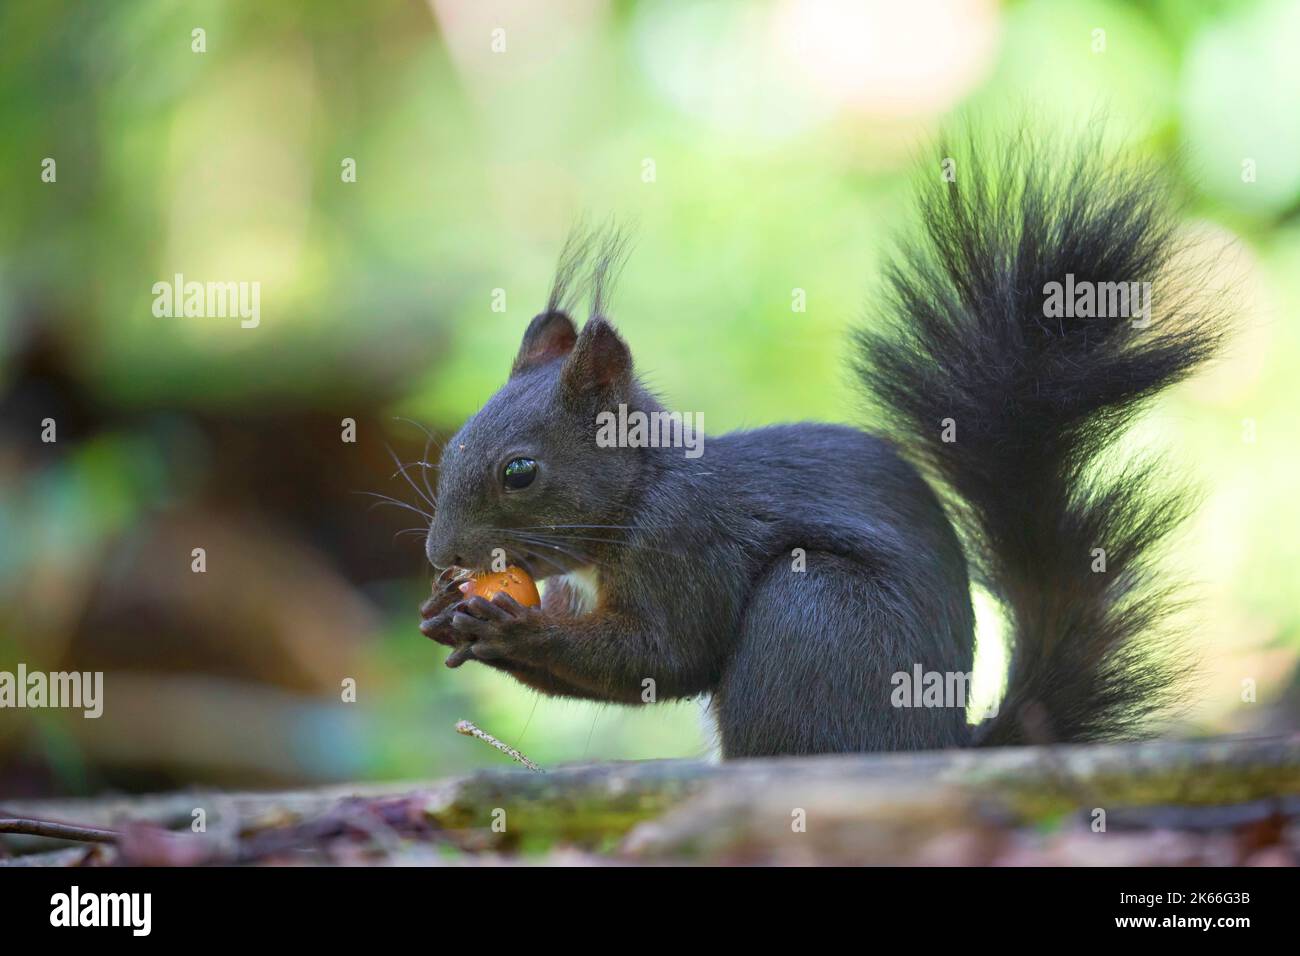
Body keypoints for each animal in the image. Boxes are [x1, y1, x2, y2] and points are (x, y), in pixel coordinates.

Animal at [418, 132, 1229, 758]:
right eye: (450, 449)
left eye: (520, 471)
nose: (439, 553)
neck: (642, 489)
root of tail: (936, 750)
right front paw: (444, 612)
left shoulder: (688, 541)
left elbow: (664, 658)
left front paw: (511, 629)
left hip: (816, 614)